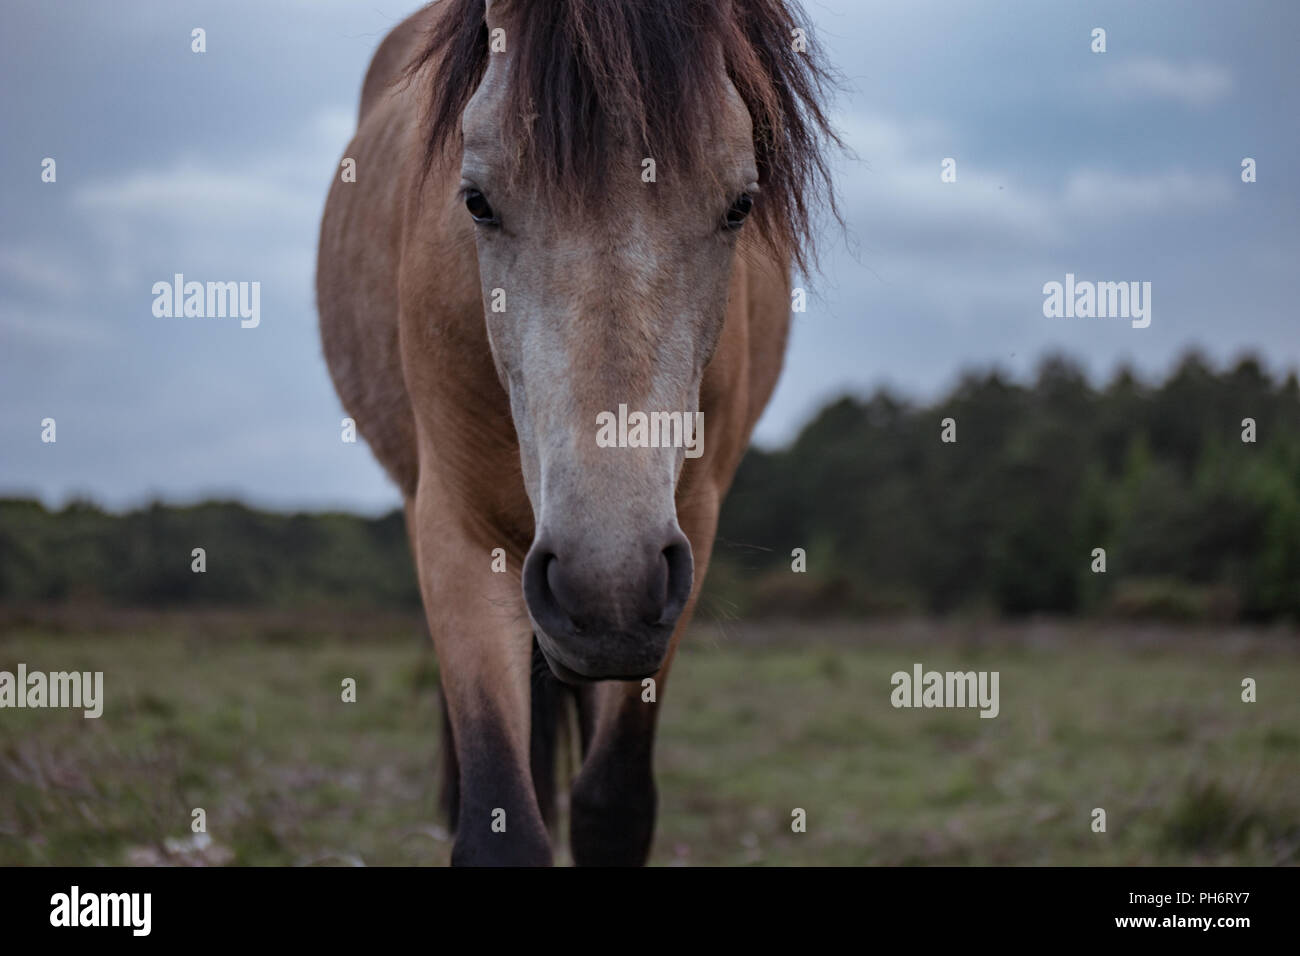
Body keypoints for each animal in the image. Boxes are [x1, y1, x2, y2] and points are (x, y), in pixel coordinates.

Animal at [316, 0, 835, 865]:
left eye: (740, 204)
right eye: (476, 200)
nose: (608, 584)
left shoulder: (686, 538)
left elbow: (612, 804)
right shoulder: (454, 529)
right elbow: (501, 823)